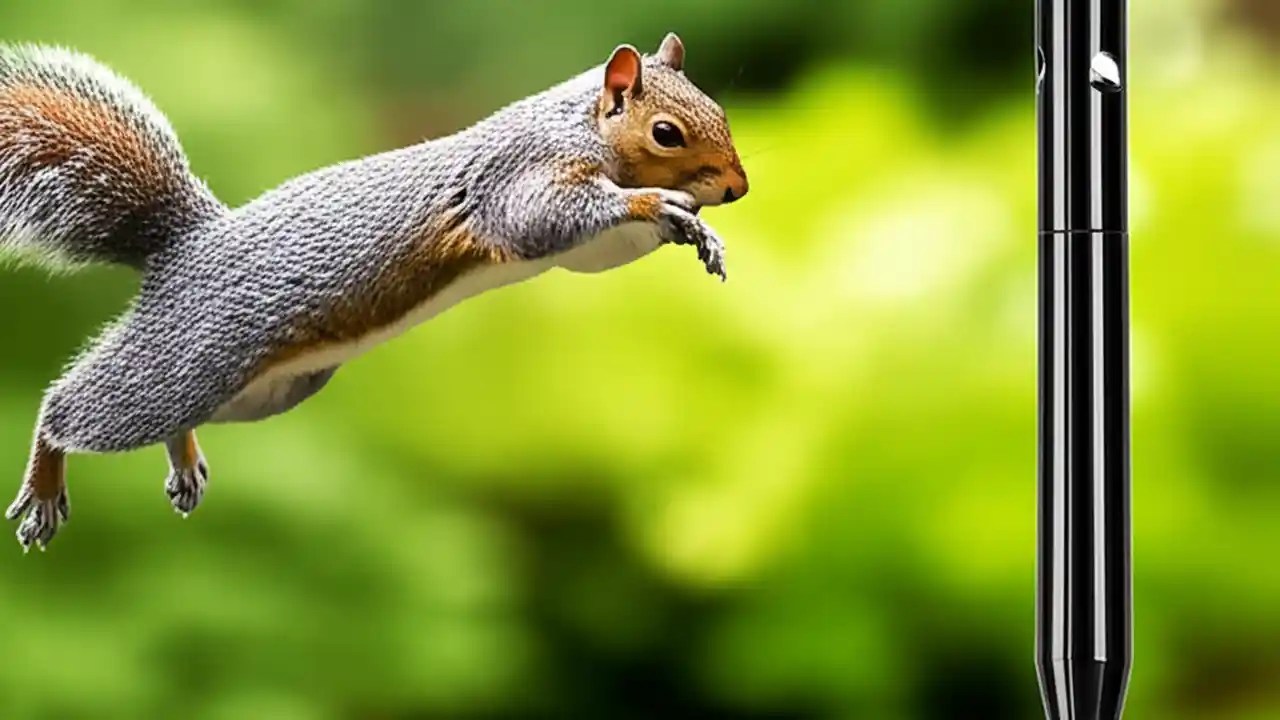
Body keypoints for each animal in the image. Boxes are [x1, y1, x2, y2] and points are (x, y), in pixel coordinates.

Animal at [0, 32, 748, 550]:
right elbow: (543, 214)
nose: (738, 188)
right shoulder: (519, 176)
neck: (583, 124)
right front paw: (660, 203)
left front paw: (698, 231)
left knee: (175, 415)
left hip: (263, 390)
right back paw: (44, 484)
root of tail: (186, 243)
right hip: (193, 356)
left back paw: (183, 462)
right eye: (666, 132)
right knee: (78, 408)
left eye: (720, 109)